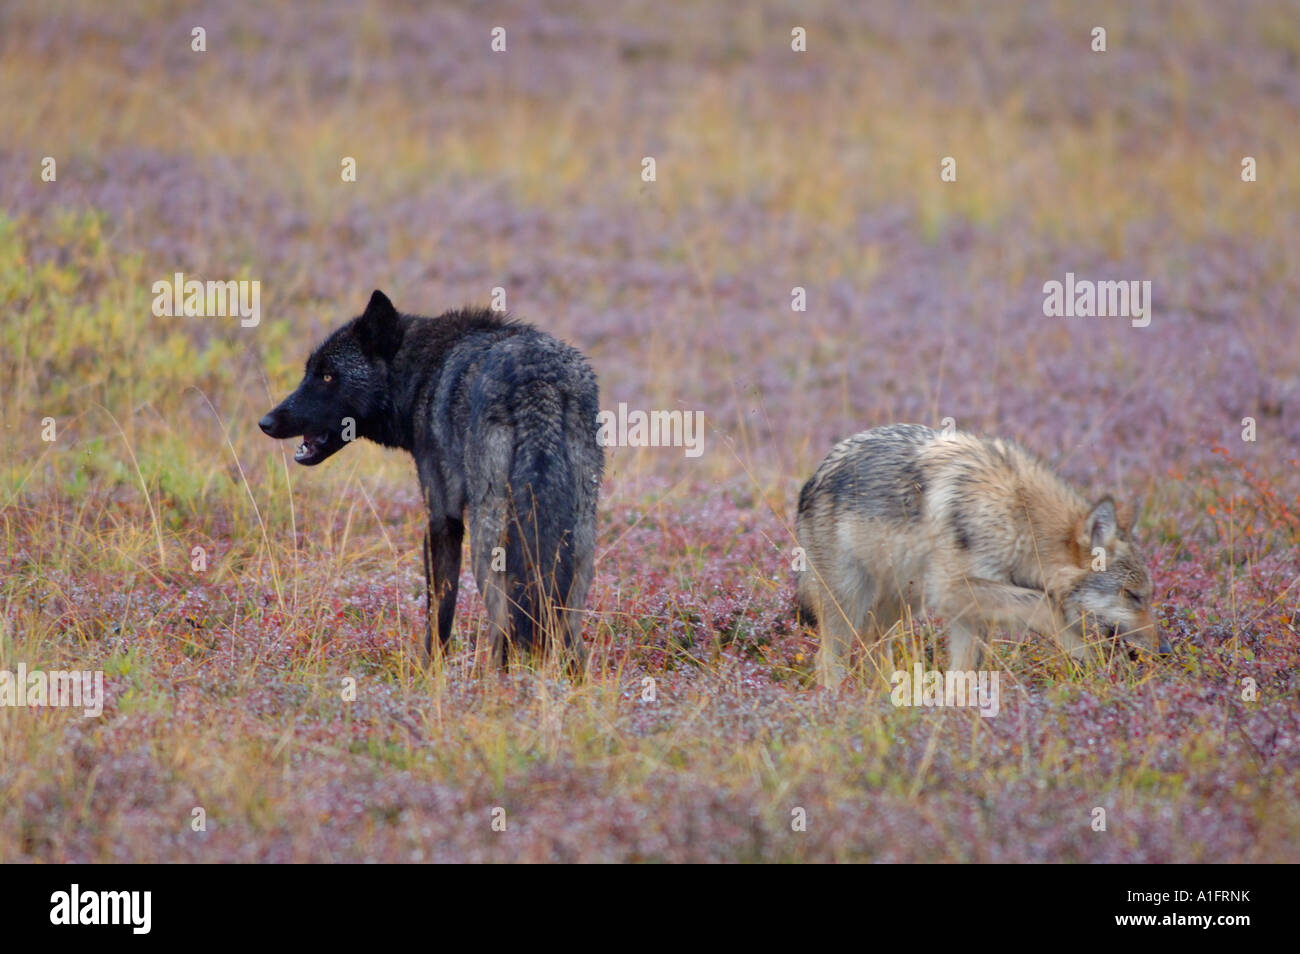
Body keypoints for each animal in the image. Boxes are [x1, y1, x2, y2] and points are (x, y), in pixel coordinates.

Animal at [259, 290, 603, 669]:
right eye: (311, 373)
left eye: (328, 377)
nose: (266, 422)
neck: (422, 374)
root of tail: (540, 385)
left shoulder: (441, 517)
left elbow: (438, 611)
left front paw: (429, 671)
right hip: (579, 547)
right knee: (569, 639)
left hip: (489, 548)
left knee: (506, 628)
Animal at [795, 423, 1167, 686]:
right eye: (1132, 596)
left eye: (1147, 596)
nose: (1164, 651)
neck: (1019, 517)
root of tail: (814, 476)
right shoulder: (951, 591)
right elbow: (1042, 604)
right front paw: (1086, 653)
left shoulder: (966, 612)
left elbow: (962, 676)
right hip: (849, 603)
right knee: (826, 662)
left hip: (902, 602)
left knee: (874, 647)